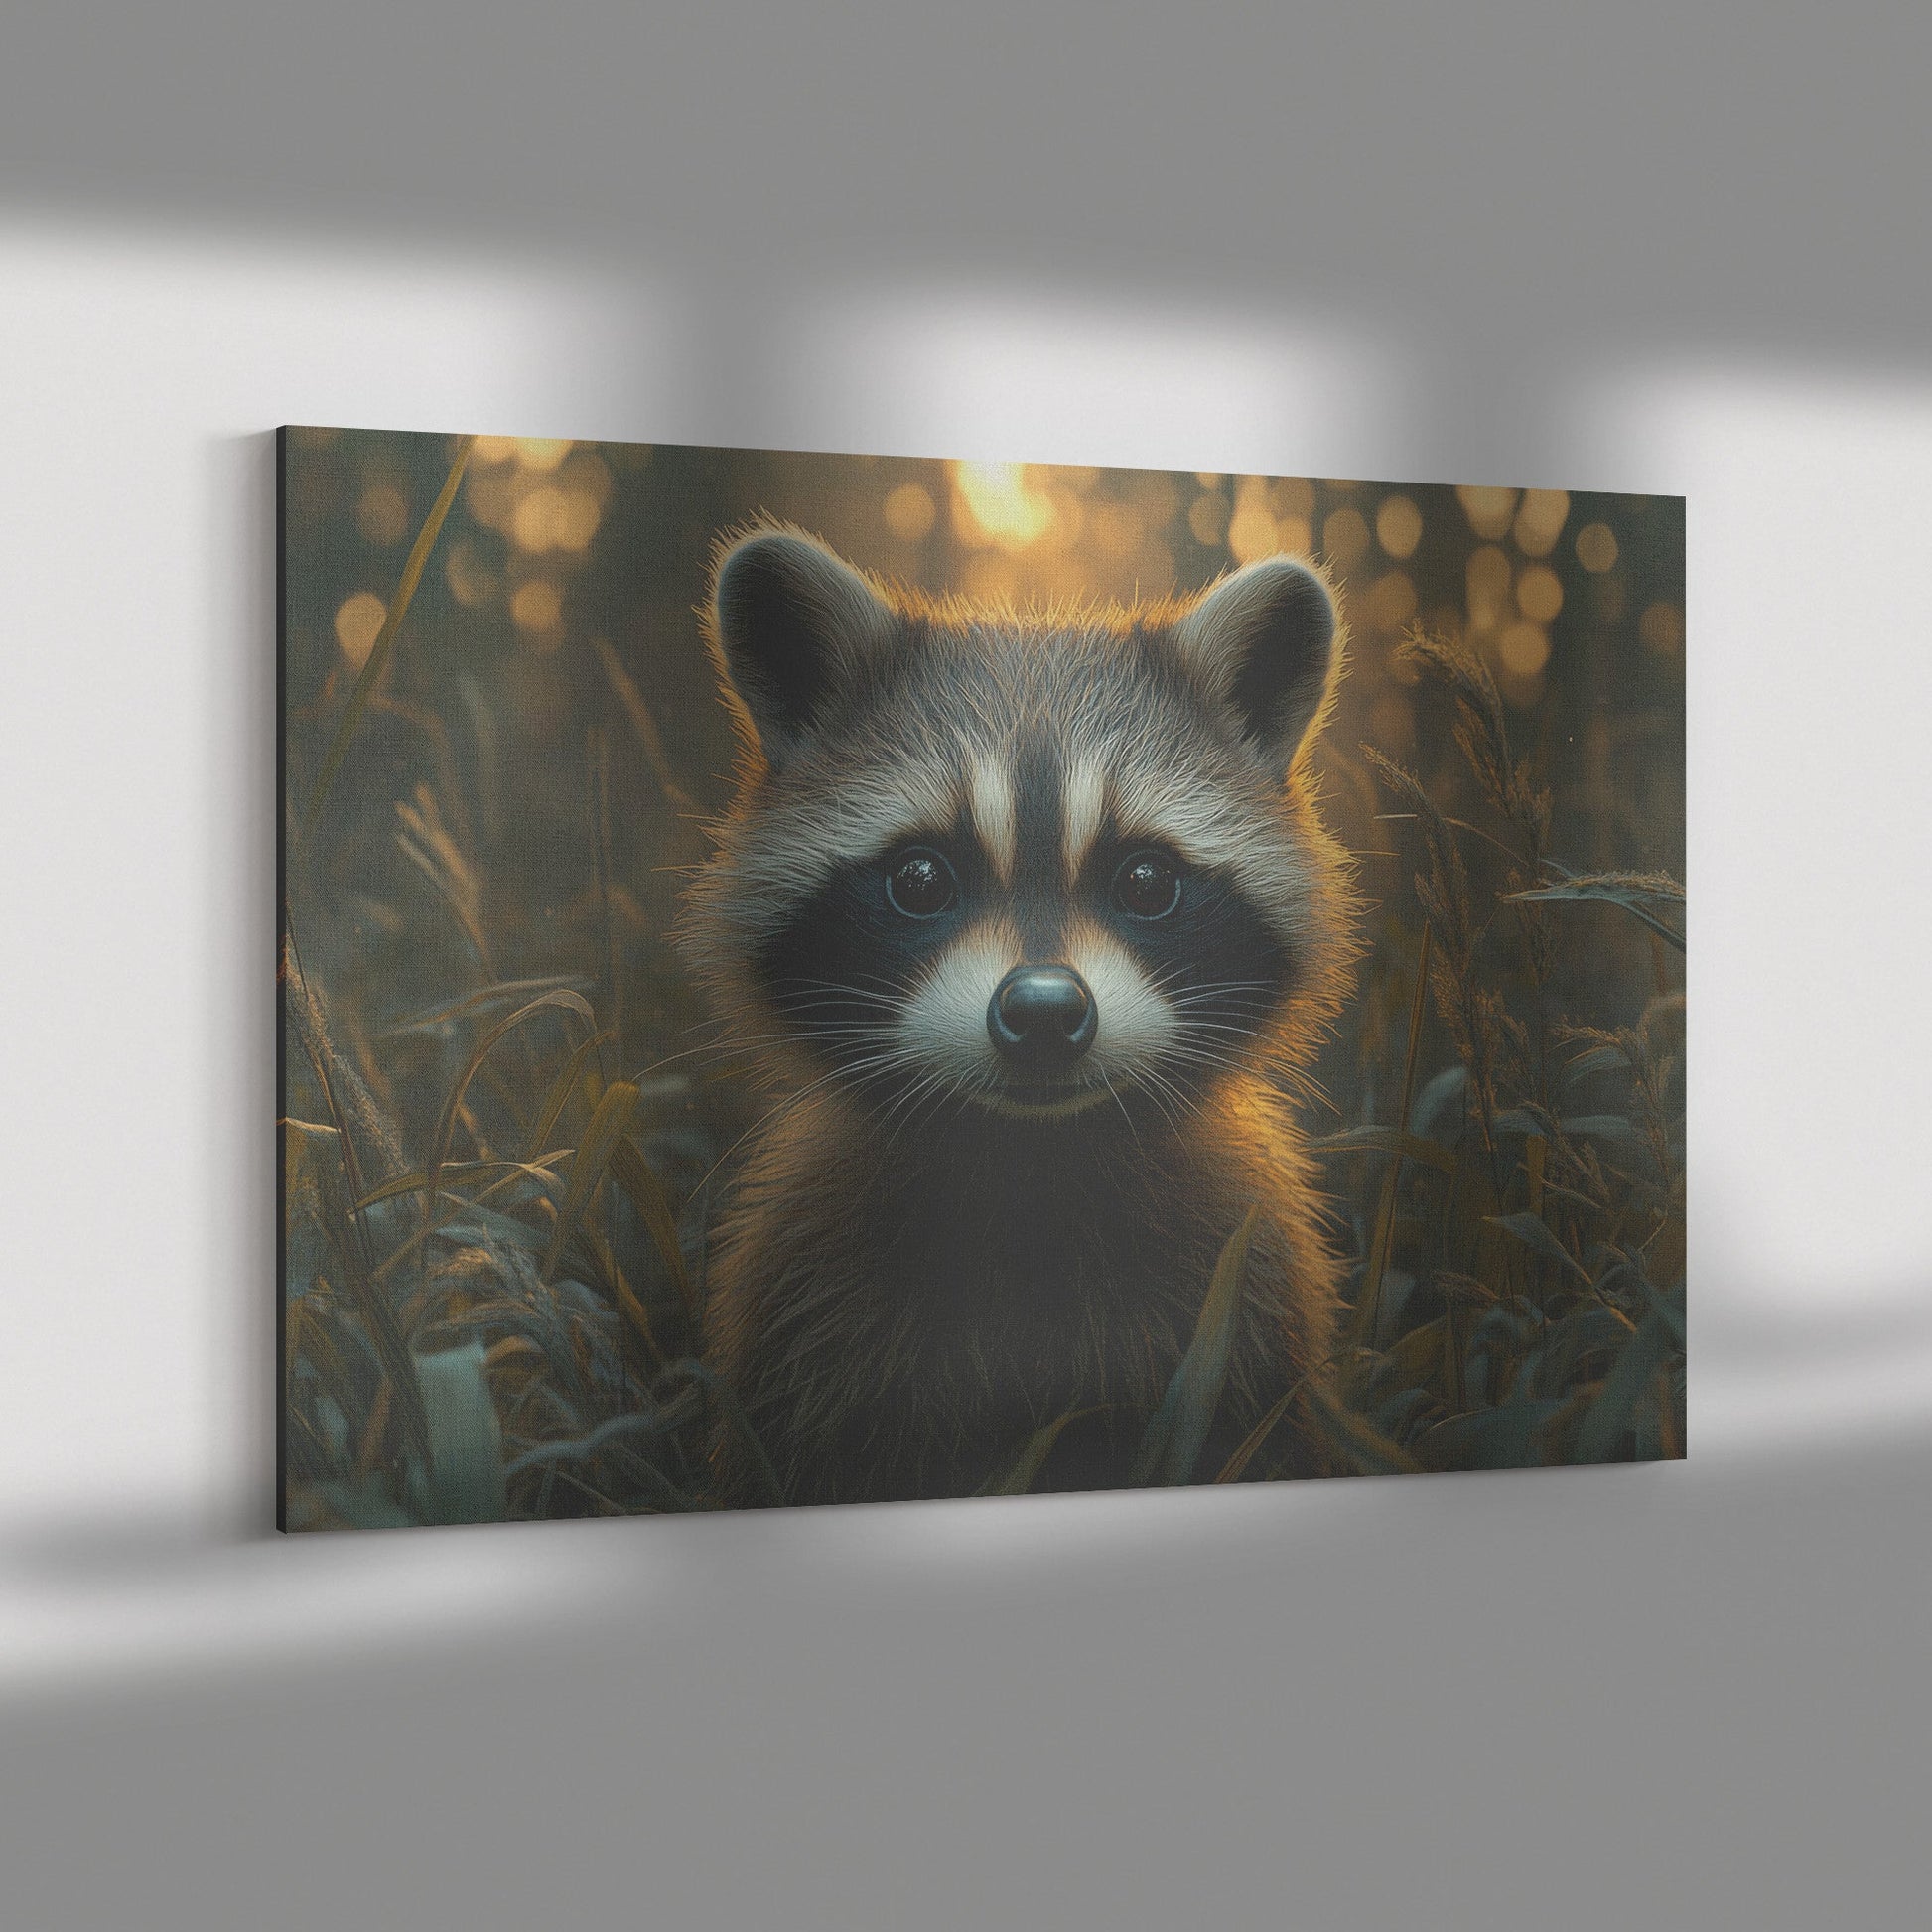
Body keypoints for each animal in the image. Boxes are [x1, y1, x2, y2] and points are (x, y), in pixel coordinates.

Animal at [679, 527, 1360, 1506]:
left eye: (1145, 880)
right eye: (921, 878)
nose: (1042, 1011)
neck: (1033, 1165)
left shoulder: (1249, 1291)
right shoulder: (802, 1308)